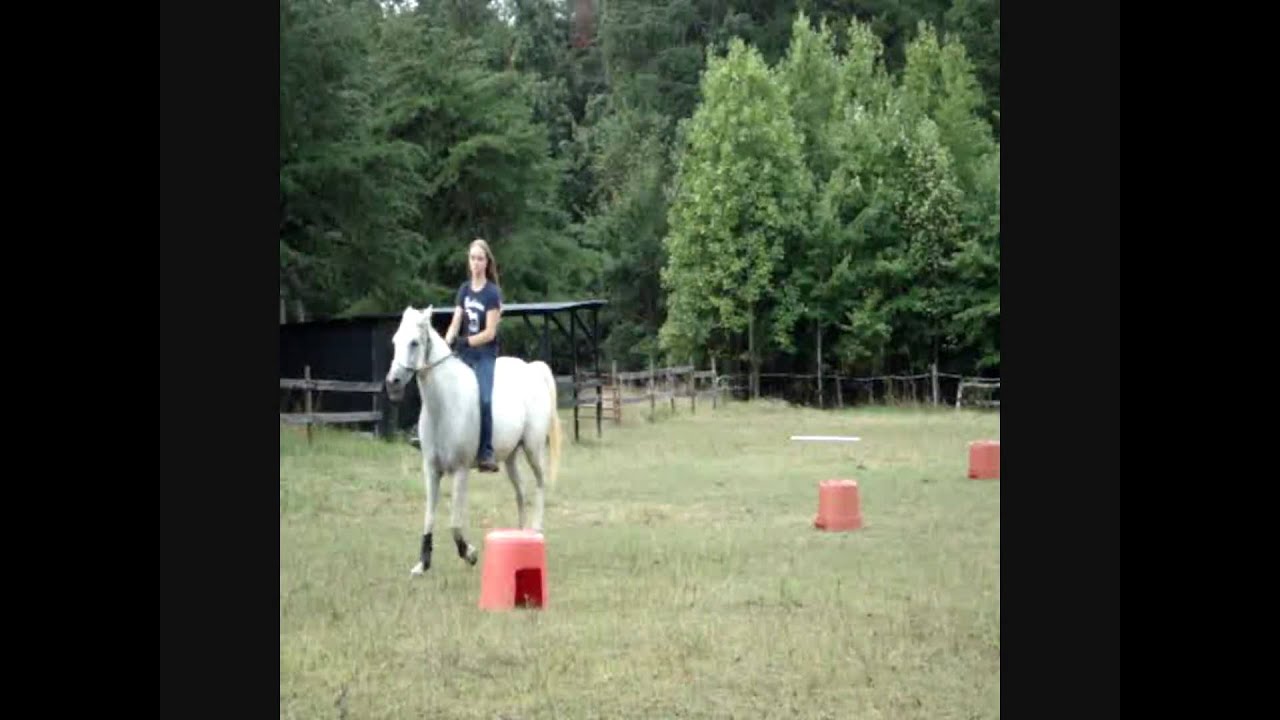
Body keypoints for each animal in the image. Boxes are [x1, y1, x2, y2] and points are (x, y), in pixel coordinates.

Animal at [383, 305, 562, 577]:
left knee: (540, 484)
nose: (392, 383)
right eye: (395, 341)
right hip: (510, 457)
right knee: (521, 492)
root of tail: (531, 370)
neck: (444, 404)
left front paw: (470, 553)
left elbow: (454, 523)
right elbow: (429, 516)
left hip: (533, 449)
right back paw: (521, 536)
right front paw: (423, 563)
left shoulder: (460, 470)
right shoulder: (431, 470)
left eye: (414, 343)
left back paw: (536, 531)